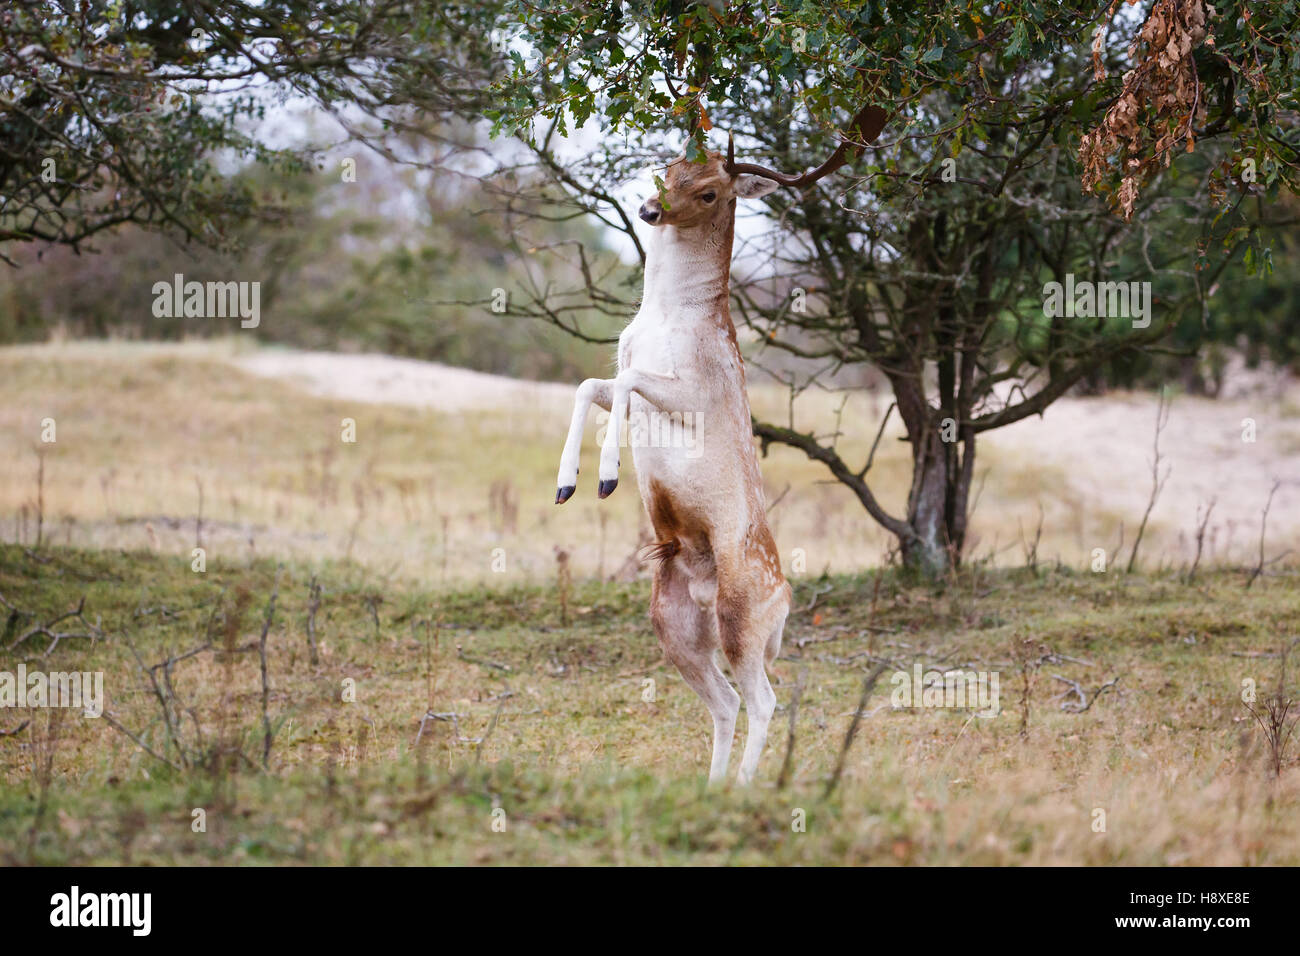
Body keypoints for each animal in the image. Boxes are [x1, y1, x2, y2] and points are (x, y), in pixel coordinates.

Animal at [554, 107, 889, 784]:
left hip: (743, 617)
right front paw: (567, 483)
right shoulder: (622, 362)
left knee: (763, 698)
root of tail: (785, 602)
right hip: (674, 624)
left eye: (711, 191)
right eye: (670, 167)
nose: (649, 210)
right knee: (726, 700)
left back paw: (740, 788)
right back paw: (711, 787)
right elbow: (591, 384)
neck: (663, 319)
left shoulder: (698, 390)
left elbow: (623, 384)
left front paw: (606, 477)